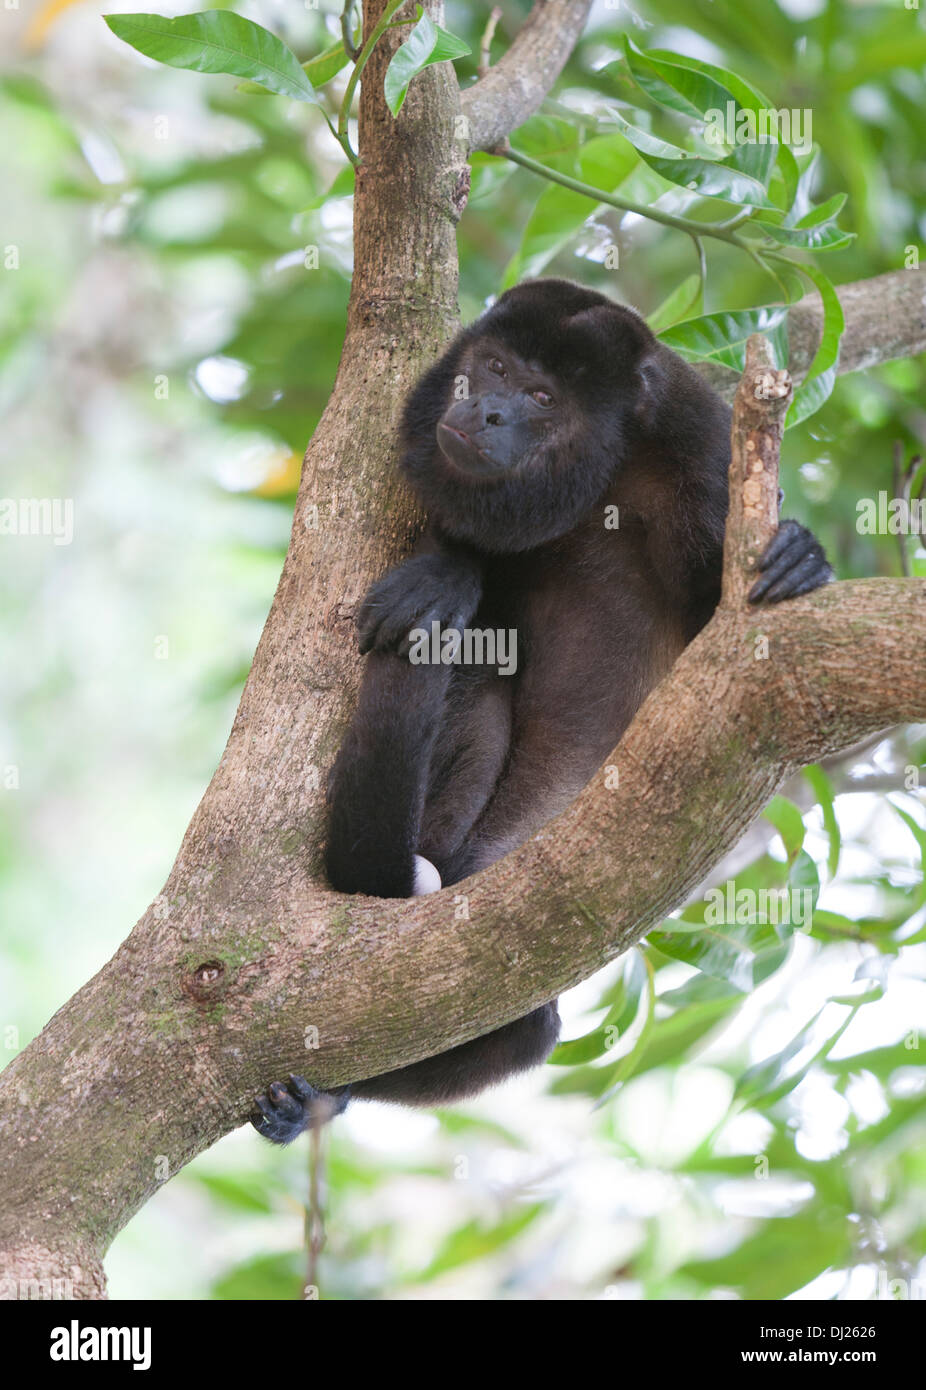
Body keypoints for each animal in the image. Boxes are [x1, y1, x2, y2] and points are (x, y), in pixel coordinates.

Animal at [251, 277, 833, 1144]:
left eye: (541, 398)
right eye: (493, 367)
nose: (487, 410)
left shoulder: (702, 442)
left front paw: (803, 556)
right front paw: (447, 572)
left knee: (525, 1032)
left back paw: (328, 1095)